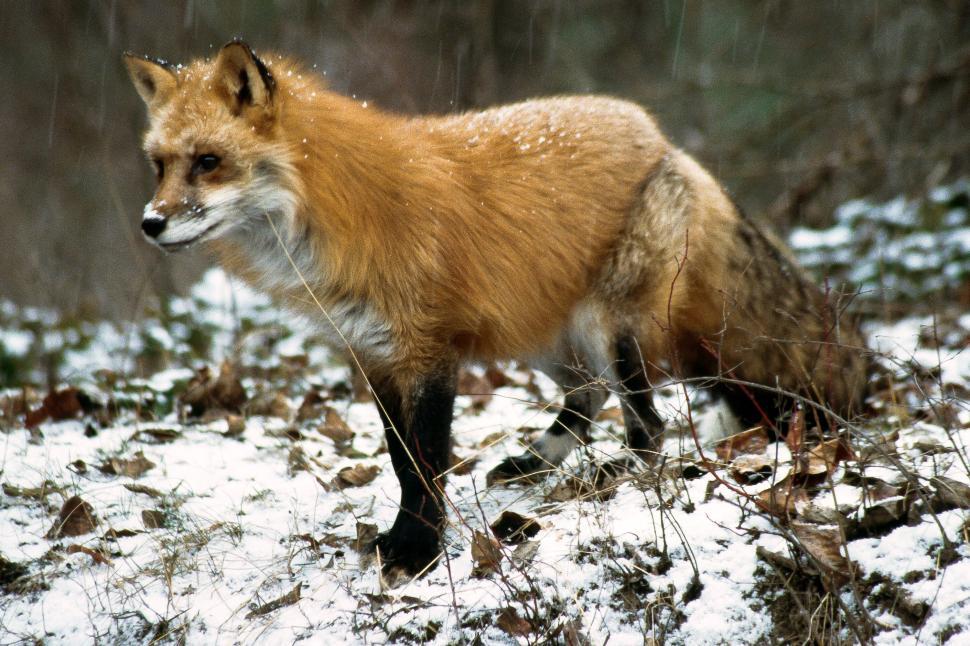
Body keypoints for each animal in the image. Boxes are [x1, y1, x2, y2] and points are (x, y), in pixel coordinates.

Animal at [124, 40, 869, 575]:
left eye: (209, 161)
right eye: (159, 165)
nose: (150, 224)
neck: (328, 212)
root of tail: (664, 140)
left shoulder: (430, 350)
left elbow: (426, 462)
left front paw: (419, 553)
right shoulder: (374, 355)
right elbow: (404, 461)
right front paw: (403, 540)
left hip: (608, 325)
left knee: (648, 423)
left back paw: (613, 474)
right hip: (541, 332)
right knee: (589, 394)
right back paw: (537, 462)